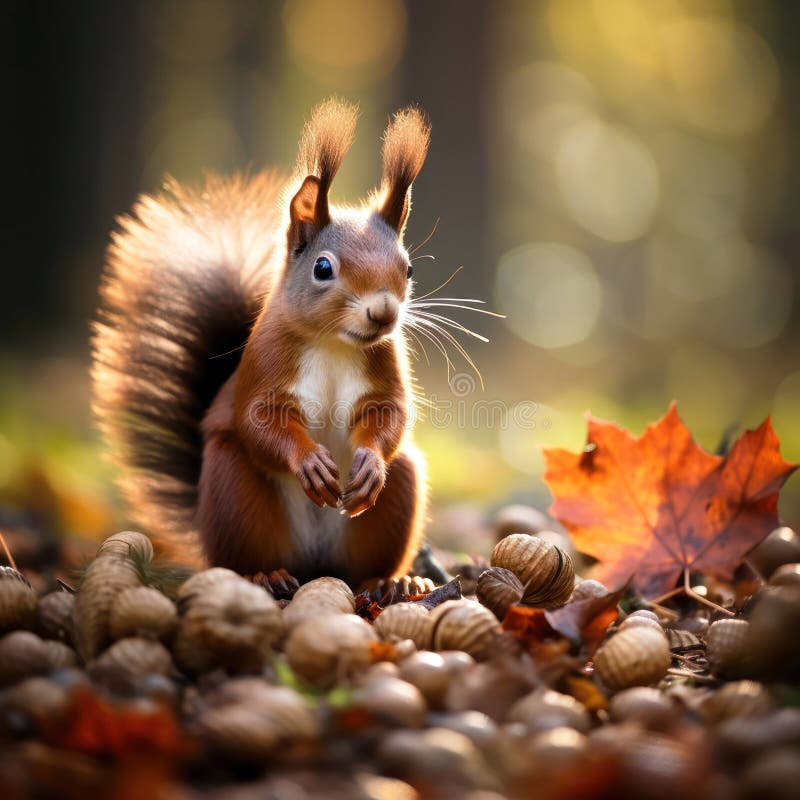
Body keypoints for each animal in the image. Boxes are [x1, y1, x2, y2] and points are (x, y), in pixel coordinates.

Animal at [91, 99, 432, 587]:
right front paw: (308, 461)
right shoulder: (265, 362)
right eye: (323, 268)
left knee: (370, 549)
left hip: (395, 496)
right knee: (240, 554)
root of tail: (312, 565)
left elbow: (390, 413)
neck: (334, 344)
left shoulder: (383, 363)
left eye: (408, 269)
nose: (383, 313)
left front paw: (369, 461)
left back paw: (390, 582)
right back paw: (264, 576)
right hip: (235, 494)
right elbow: (259, 420)